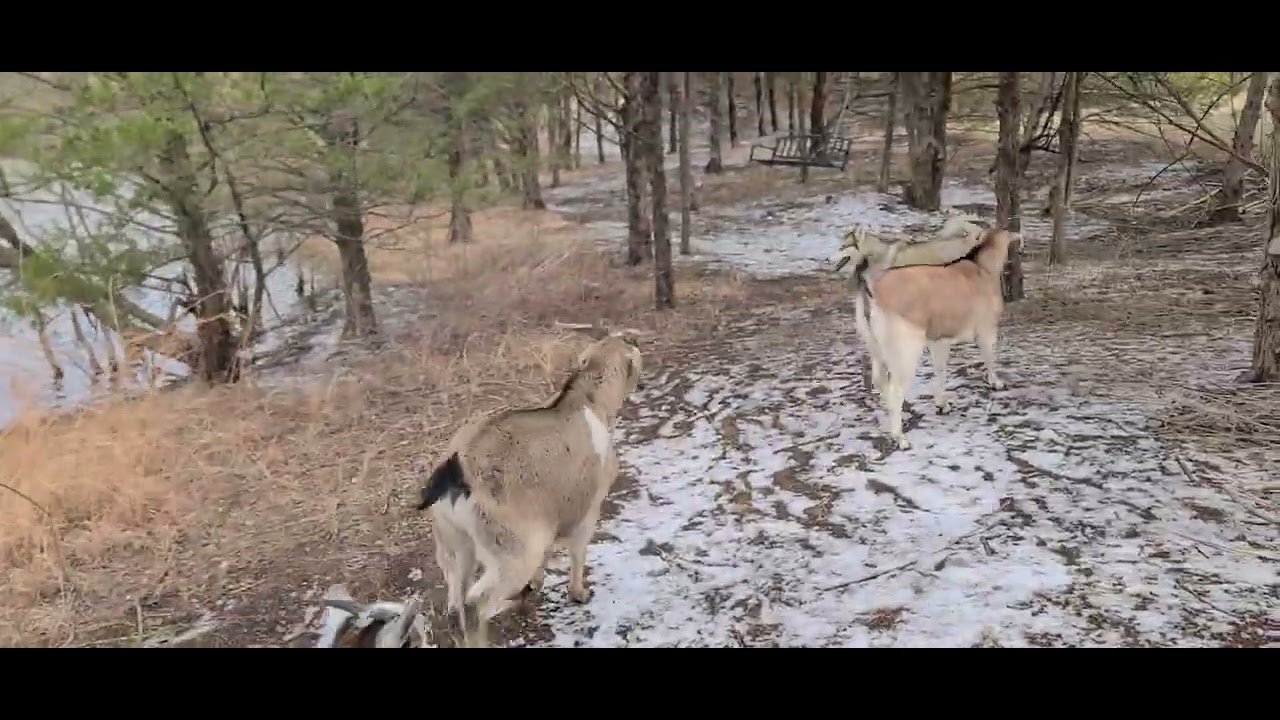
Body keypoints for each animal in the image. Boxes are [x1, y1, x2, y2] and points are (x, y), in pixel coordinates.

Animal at [416, 331, 646, 647]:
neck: (587, 400)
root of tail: (455, 468)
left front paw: (536, 583)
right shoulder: (588, 507)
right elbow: (578, 550)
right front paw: (578, 593)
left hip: (452, 540)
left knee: (454, 604)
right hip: (514, 548)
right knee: (475, 604)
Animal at [849, 225, 1022, 450]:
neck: (982, 267)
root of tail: (873, 291)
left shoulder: (939, 341)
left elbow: (940, 371)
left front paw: (942, 404)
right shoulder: (986, 329)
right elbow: (990, 357)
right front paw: (996, 382)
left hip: (875, 346)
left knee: (880, 380)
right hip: (906, 351)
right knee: (896, 388)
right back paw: (899, 437)